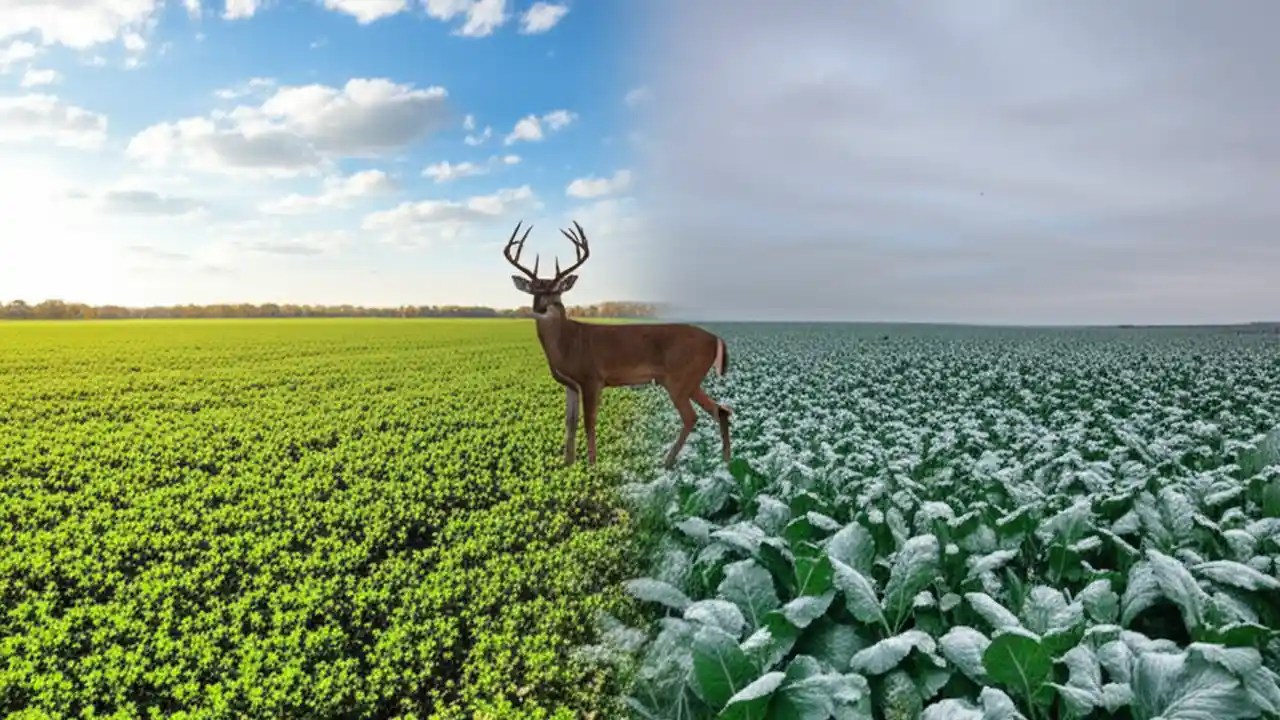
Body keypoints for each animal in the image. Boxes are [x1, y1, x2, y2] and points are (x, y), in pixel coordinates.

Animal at [504, 220, 732, 469]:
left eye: (558, 291)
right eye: (535, 292)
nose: (547, 309)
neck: (566, 345)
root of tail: (716, 339)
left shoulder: (592, 378)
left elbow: (589, 421)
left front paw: (592, 465)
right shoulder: (570, 383)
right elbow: (570, 422)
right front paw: (567, 464)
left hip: (680, 377)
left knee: (693, 416)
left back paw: (667, 462)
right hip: (689, 380)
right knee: (720, 410)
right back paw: (725, 461)